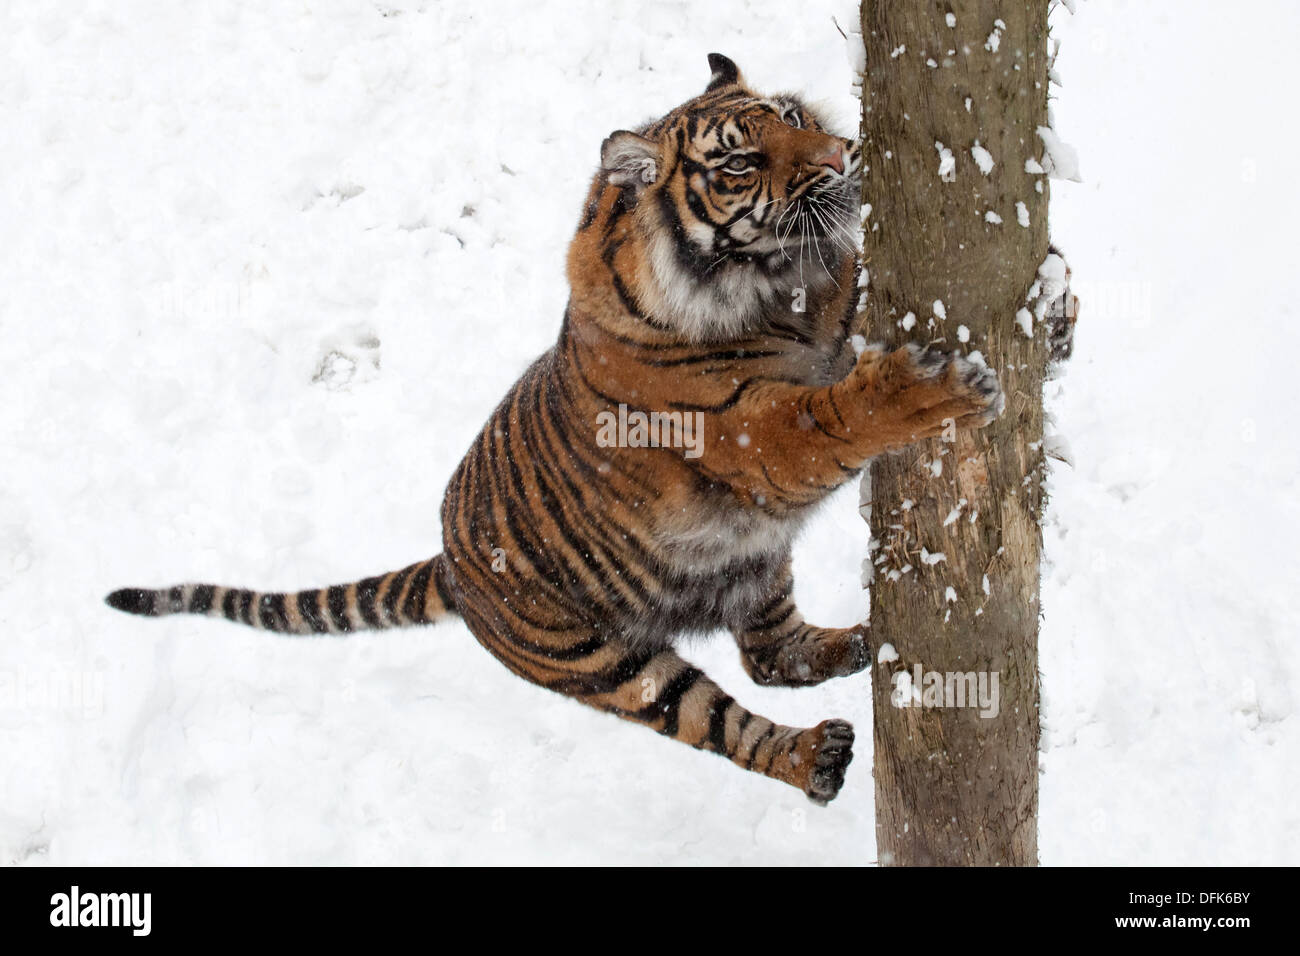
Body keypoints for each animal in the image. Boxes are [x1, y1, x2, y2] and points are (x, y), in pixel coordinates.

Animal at [106, 54, 1003, 805]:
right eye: (741, 162)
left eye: (790, 113)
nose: (843, 159)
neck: (778, 287)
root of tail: (450, 562)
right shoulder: (748, 436)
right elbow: (831, 415)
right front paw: (938, 390)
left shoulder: (826, 305)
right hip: (607, 664)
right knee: (716, 709)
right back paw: (814, 756)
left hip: (753, 561)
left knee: (773, 653)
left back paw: (857, 646)